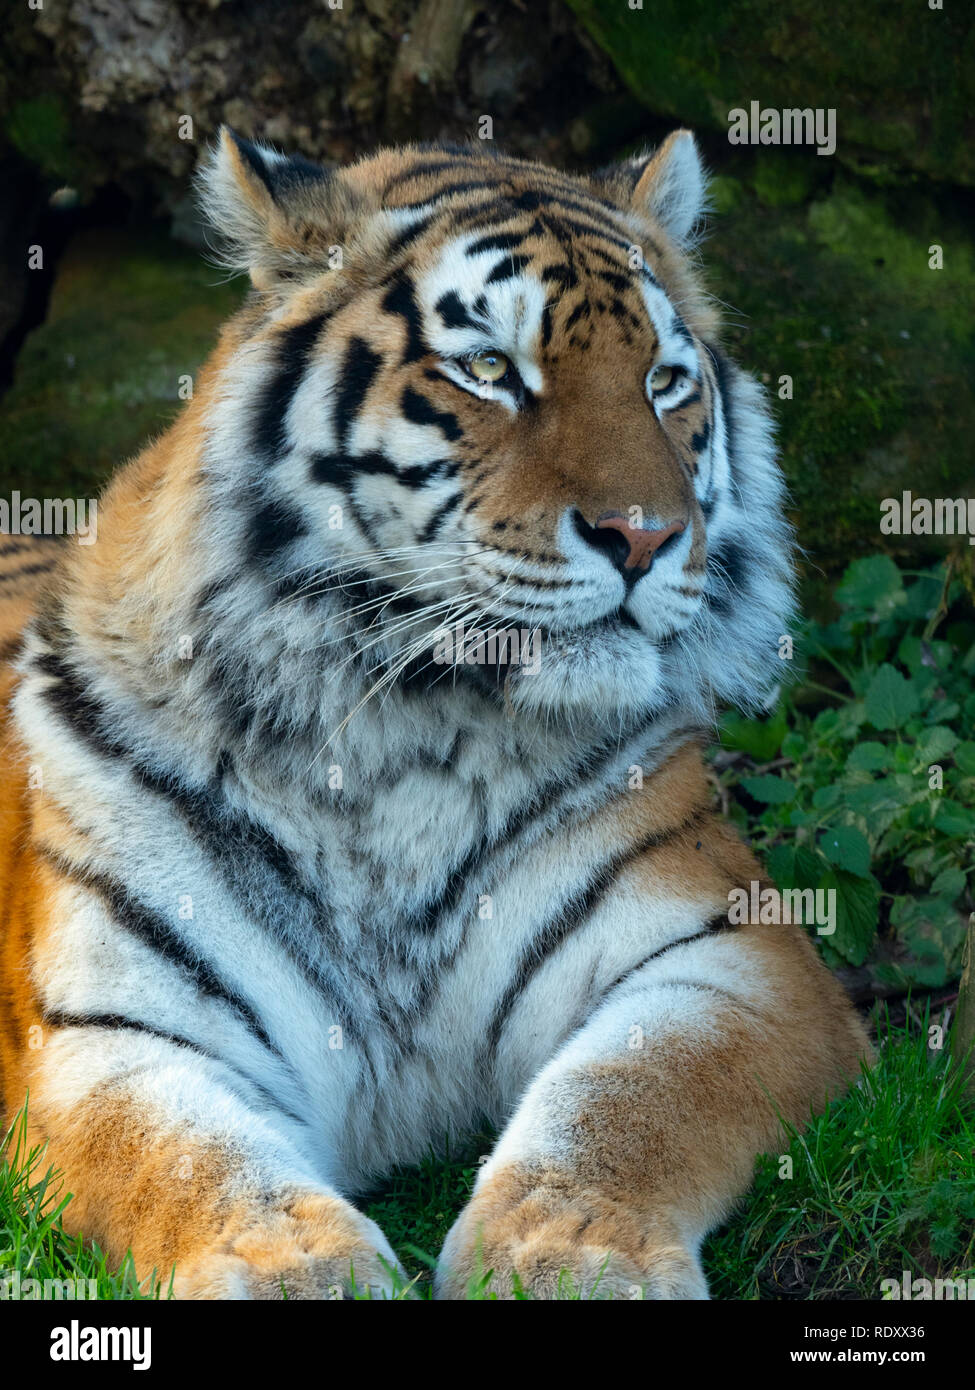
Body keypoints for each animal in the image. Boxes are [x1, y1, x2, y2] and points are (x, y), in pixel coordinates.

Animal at [0, 127, 870, 1300]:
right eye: (491, 370)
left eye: (664, 381)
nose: (645, 535)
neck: (397, 734)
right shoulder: (107, 1035)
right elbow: (195, 1166)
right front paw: (294, 1273)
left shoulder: (732, 959)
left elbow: (630, 1101)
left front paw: (570, 1253)